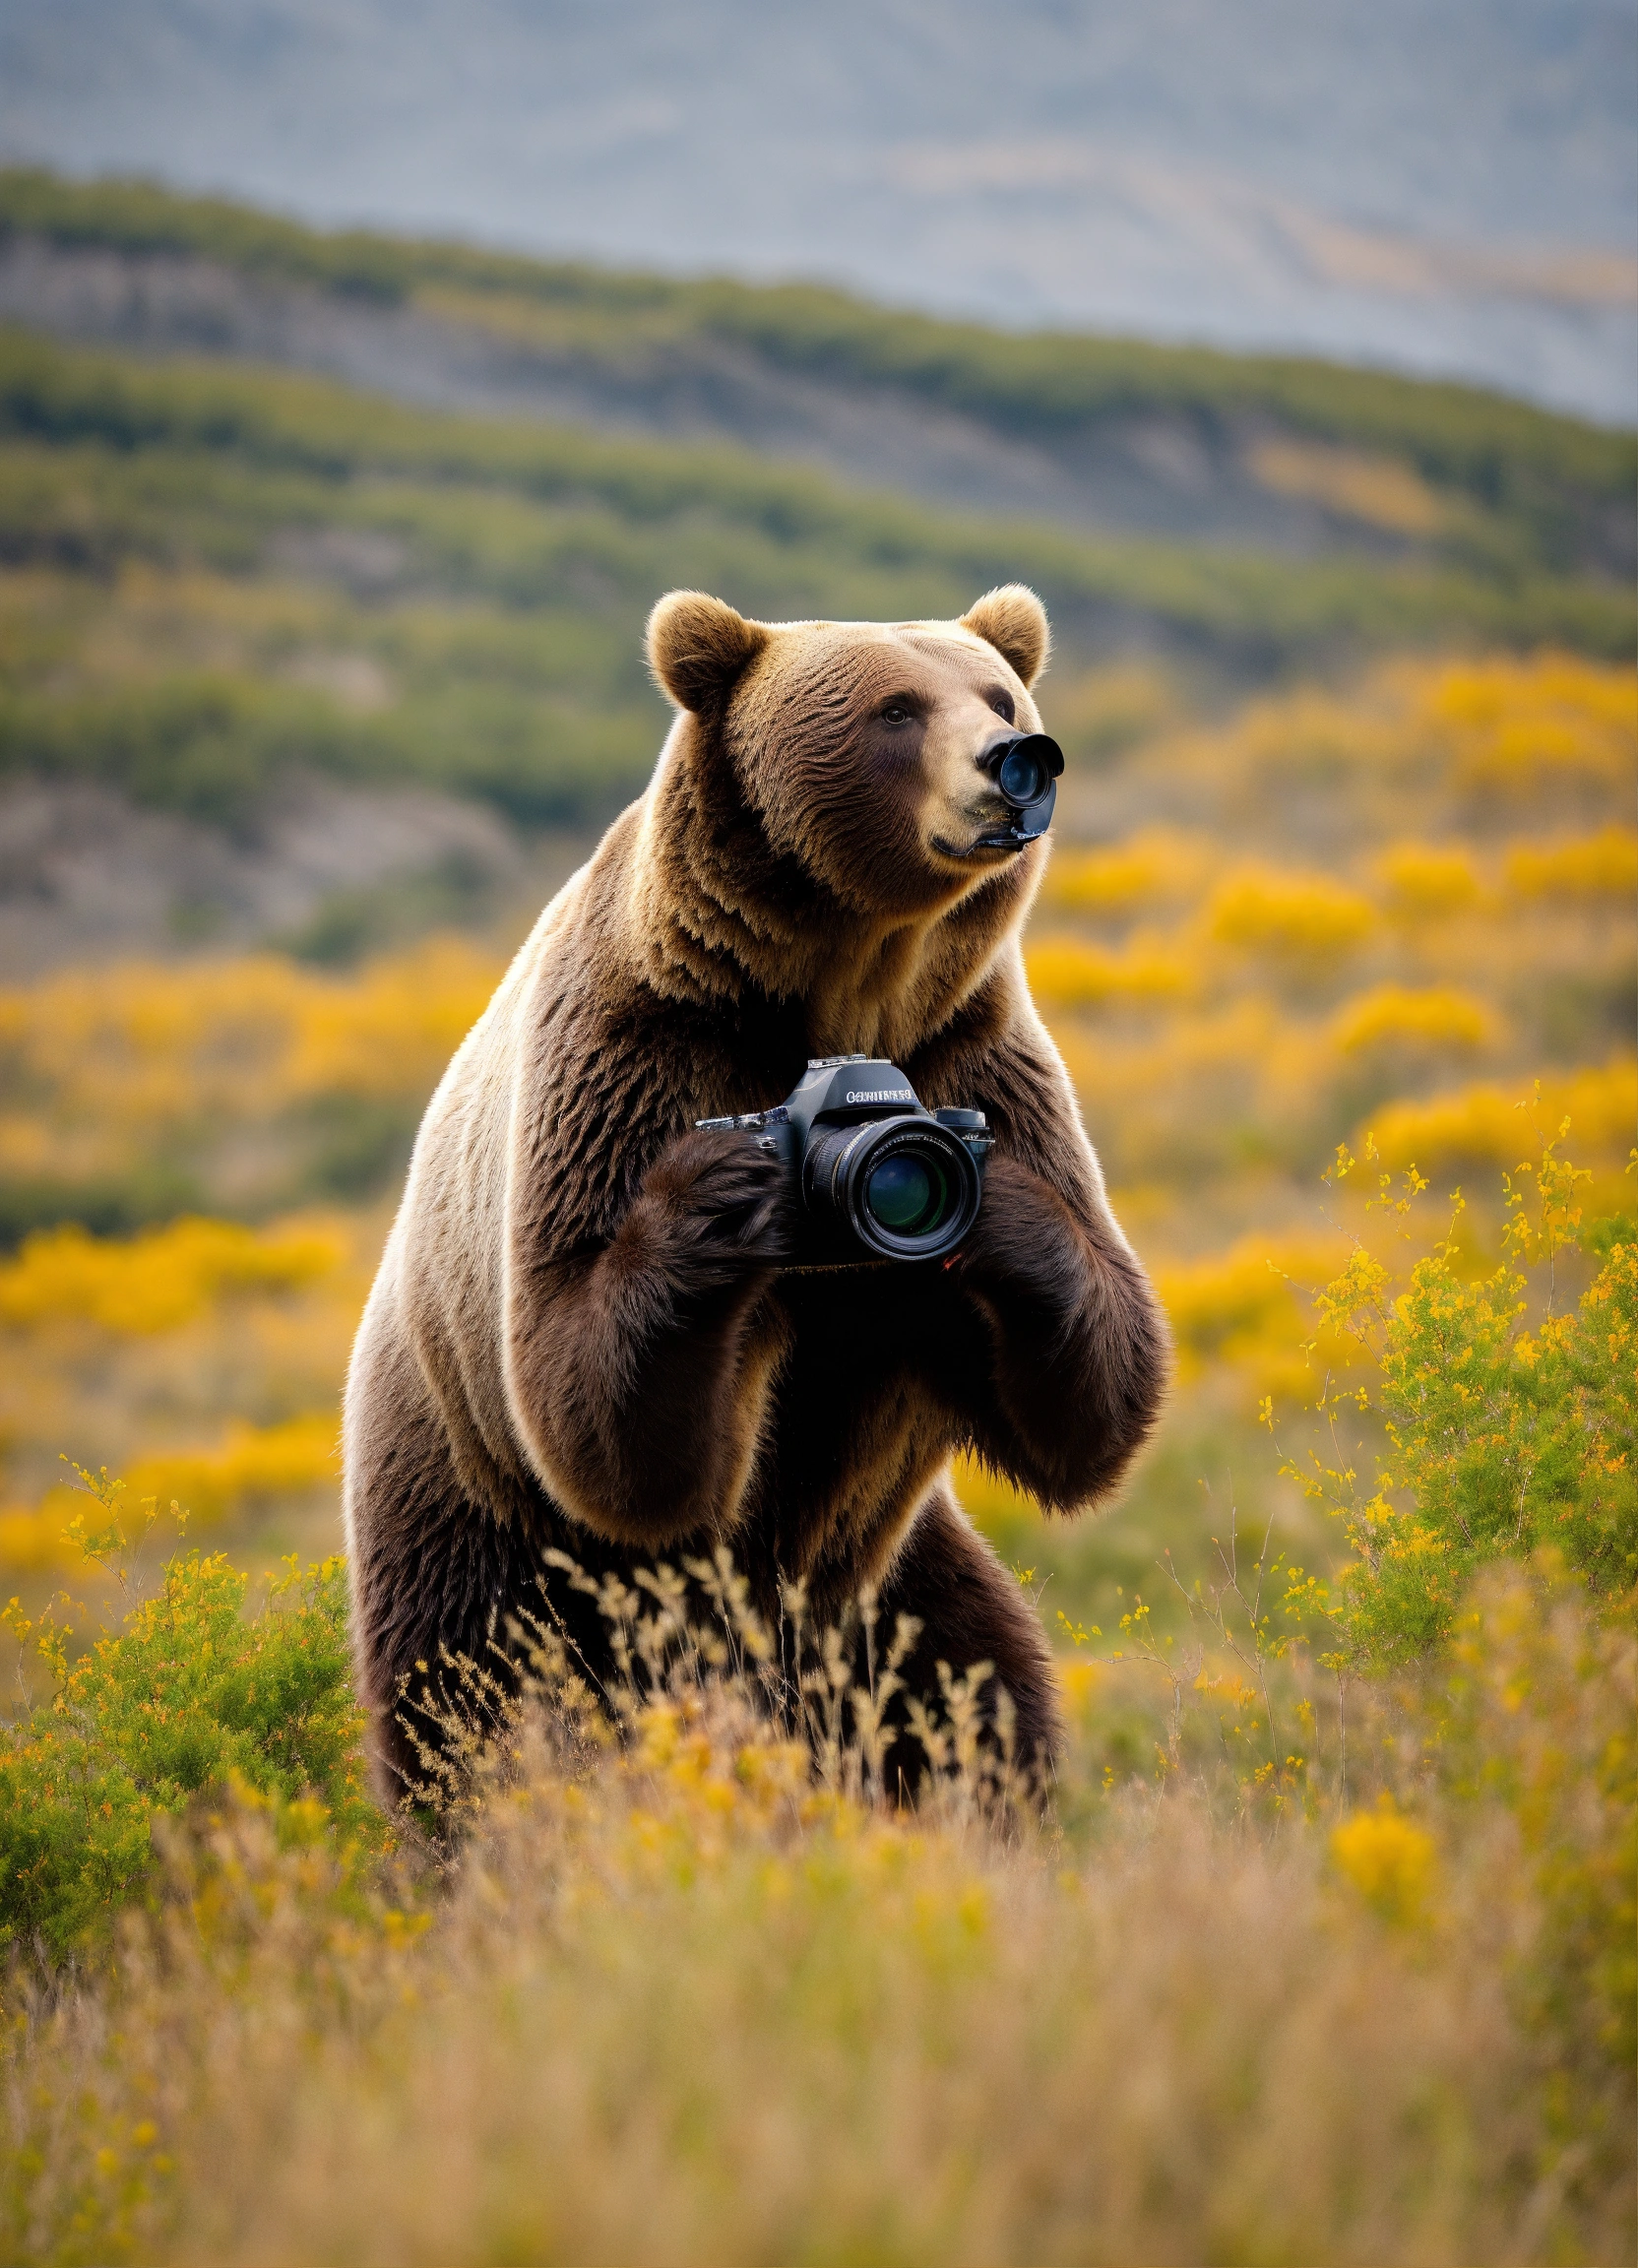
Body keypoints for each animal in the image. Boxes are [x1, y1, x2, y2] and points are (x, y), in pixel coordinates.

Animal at [342, 583, 1168, 1803]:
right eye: (894, 708)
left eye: (999, 694)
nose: (1017, 762)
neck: (845, 998)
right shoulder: (631, 1059)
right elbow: (598, 1413)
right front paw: (718, 1204)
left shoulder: (979, 1052)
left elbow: (1091, 1397)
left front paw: (1007, 1217)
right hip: (476, 1507)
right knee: (473, 1709)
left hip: (887, 1587)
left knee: (976, 1698)